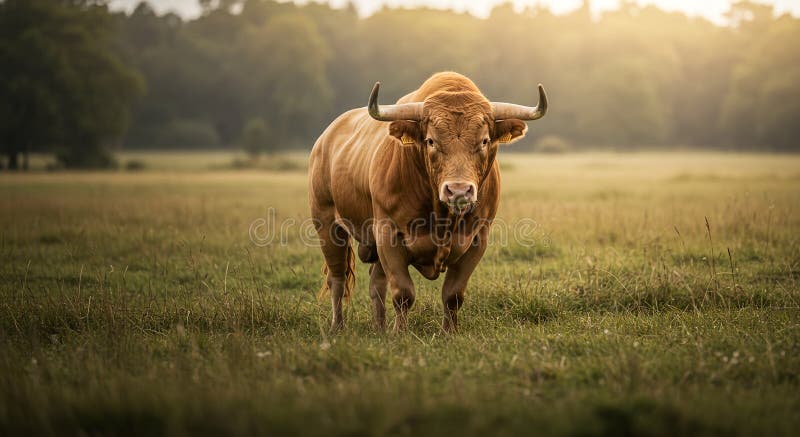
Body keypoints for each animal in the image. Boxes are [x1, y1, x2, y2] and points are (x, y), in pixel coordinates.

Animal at [308, 72, 547, 333]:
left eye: (484, 141)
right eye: (431, 141)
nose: (458, 190)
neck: (442, 218)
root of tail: (325, 139)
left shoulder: (478, 239)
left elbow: (453, 294)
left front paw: (449, 333)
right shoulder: (388, 234)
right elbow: (403, 293)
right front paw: (400, 333)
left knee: (375, 283)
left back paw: (379, 328)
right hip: (327, 225)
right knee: (338, 279)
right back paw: (338, 327)